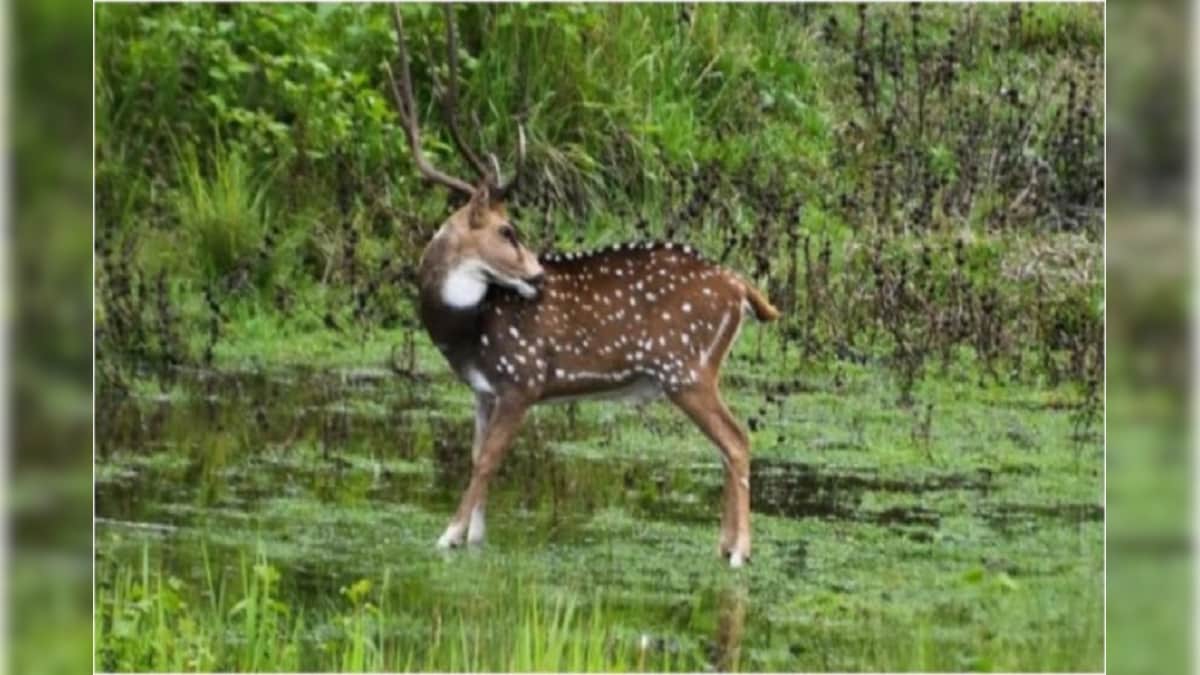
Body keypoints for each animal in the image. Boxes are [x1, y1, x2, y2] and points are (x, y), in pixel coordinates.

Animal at [385, 6, 780, 568]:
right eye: (508, 231)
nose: (537, 276)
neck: (467, 329)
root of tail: (742, 289)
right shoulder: (484, 390)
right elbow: (476, 456)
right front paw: (473, 537)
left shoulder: (523, 378)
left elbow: (488, 461)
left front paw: (448, 536)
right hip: (694, 369)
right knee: (730, 443)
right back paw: (724, 544)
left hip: (684, 366)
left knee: (737, 439)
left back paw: (739, 552)